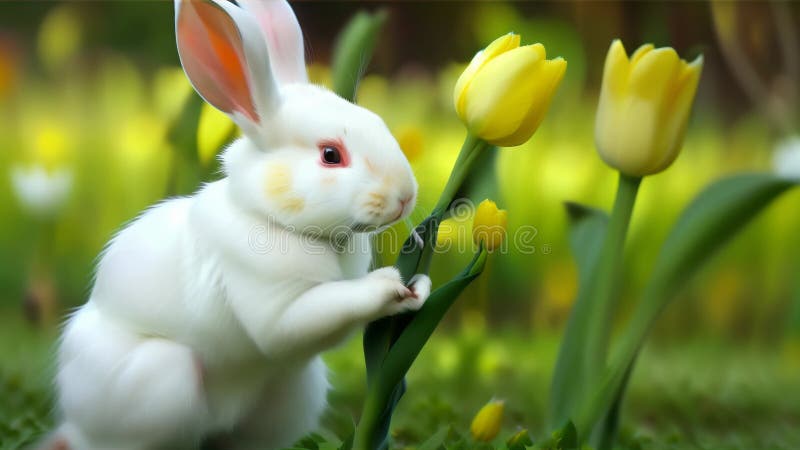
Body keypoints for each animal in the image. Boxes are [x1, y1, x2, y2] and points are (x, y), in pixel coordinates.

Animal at [42, 1, 431, 449]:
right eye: (331, 155)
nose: (405, 196)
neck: (273, 218)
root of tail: (74, 427)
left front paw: (419, 288)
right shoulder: (279, 307)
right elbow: (318, 314)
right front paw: (389, 285)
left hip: (293, 390)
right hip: (158, 382)